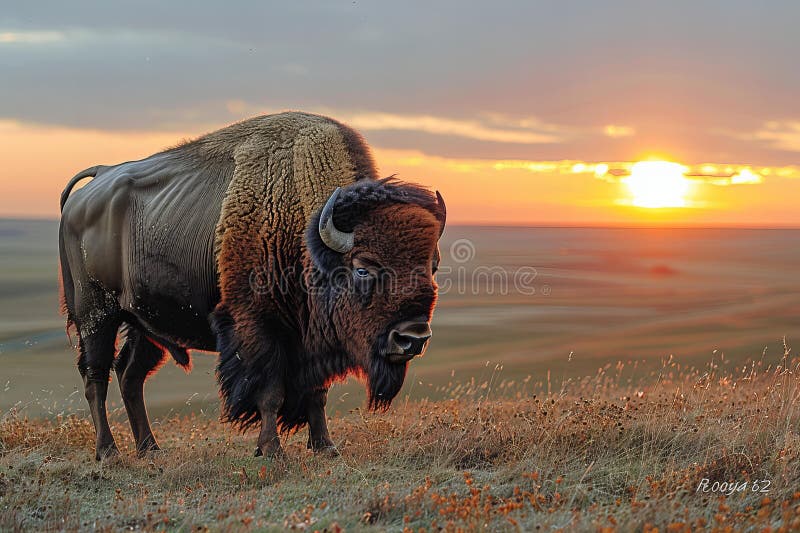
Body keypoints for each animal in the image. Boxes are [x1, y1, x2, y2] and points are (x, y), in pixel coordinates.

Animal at [59, 112, 446, 460]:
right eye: (363, 269)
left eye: (432, 266)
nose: (412, 338)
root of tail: (95, 182)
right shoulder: (259, 328)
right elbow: (269, 393)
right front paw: (271, 450)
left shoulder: (310, 338)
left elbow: (316, 392)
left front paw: (326, 447)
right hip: (96, 315)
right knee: (96, 377)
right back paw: (108, 452)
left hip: (144, 324)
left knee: (130, 375)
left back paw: (149, 449)